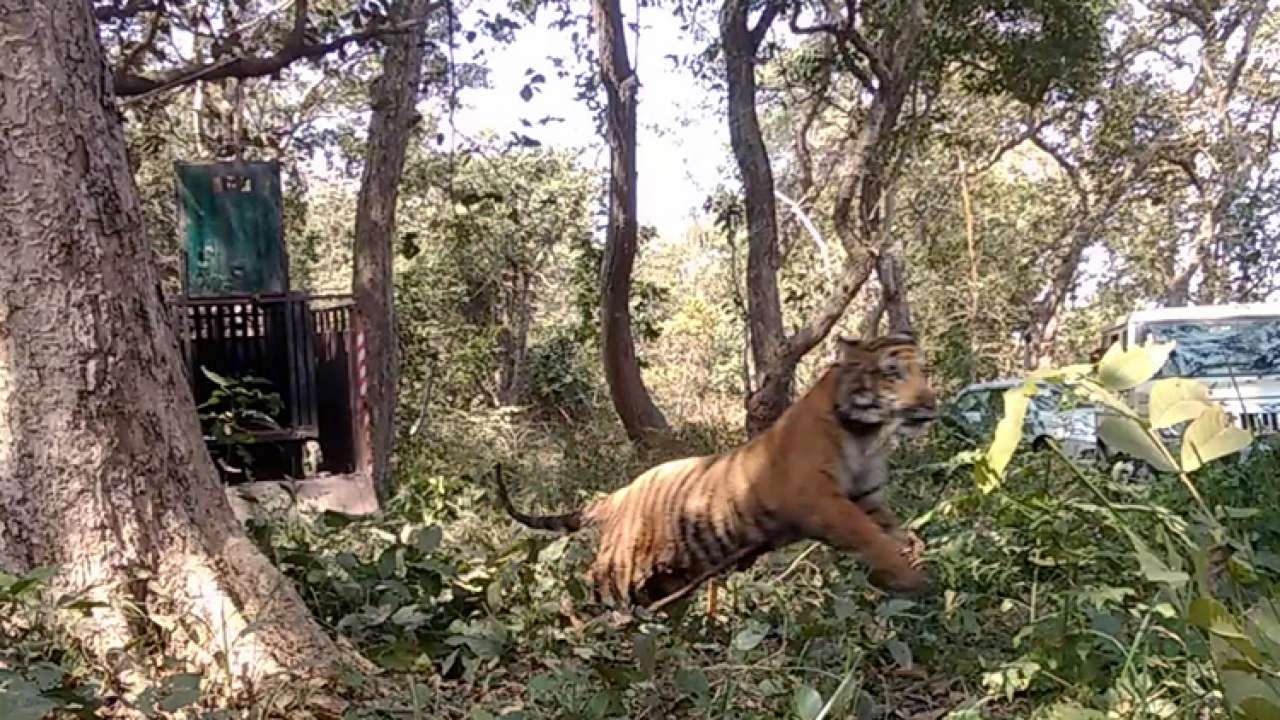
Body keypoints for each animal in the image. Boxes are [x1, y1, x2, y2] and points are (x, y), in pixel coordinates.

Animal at [494, 333, 938, 610]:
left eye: (924, 371)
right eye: (893, 373)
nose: (930, 404)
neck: (865, 432)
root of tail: (620, 493)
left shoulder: (866, 497)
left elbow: (894, 528)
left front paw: (919, 552)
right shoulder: (821, 499)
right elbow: (870, 538)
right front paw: (912, 579)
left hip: (672, 569)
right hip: (621, 562)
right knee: (594, 580)